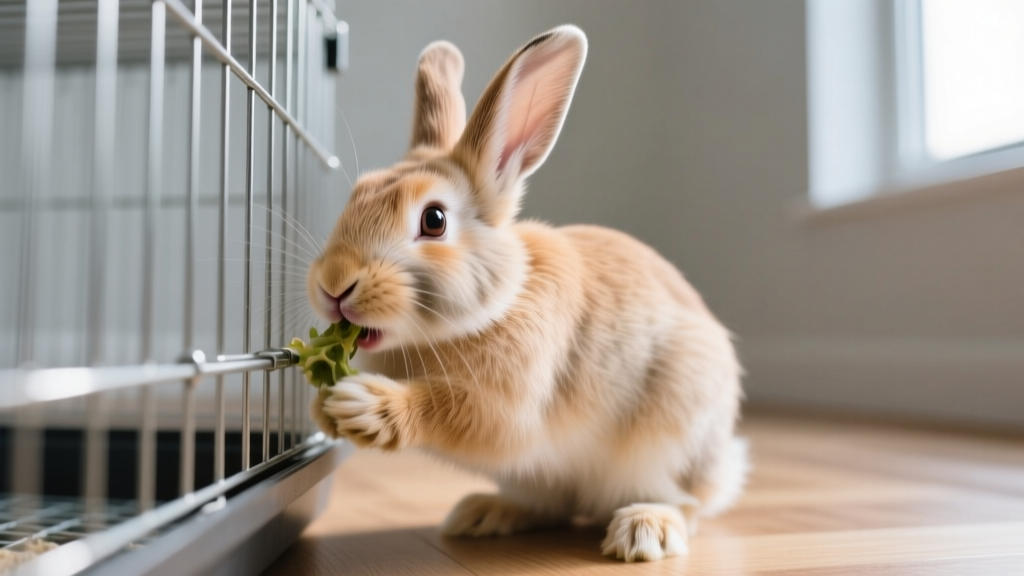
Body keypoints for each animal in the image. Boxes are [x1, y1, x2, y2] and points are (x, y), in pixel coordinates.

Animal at [306, 24, 747, 562]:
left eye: (434, 220)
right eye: (356, 196)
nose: (333, 283)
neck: (499, 302)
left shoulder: (510, 407)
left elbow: (456, 413)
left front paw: (361, 405)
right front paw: (321, 410)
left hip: (669, 439)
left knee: (687, 505)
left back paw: (645, 531)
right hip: (541, 479)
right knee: (551, 505)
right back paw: (482, 513)